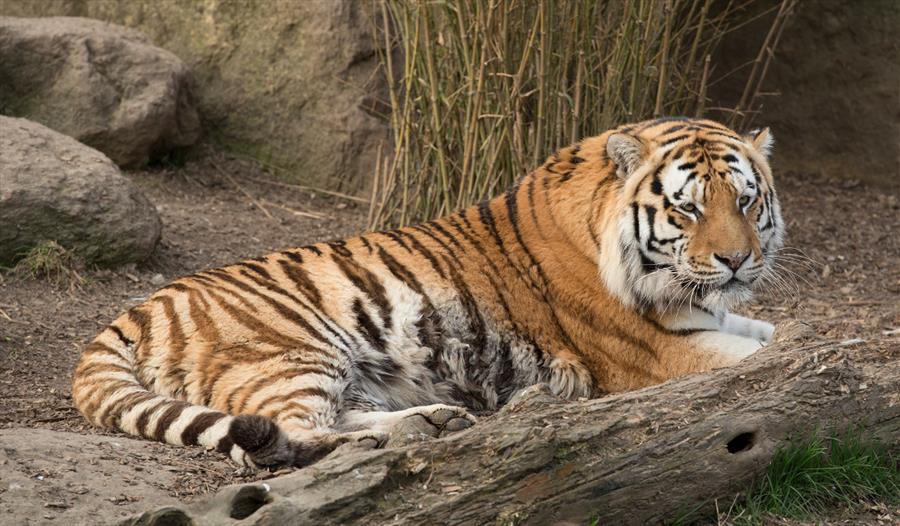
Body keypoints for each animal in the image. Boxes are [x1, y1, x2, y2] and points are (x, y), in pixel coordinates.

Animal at [74, 118, 784, 470]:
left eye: (746, 201)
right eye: (688, 208)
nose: (737, 260)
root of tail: (136, 310)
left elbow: (776, 335)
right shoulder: (661, 352)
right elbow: (770, 352)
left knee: (332, 416)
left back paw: (431, 423)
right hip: (295, 350)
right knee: (290, 432)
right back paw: (388, 444)